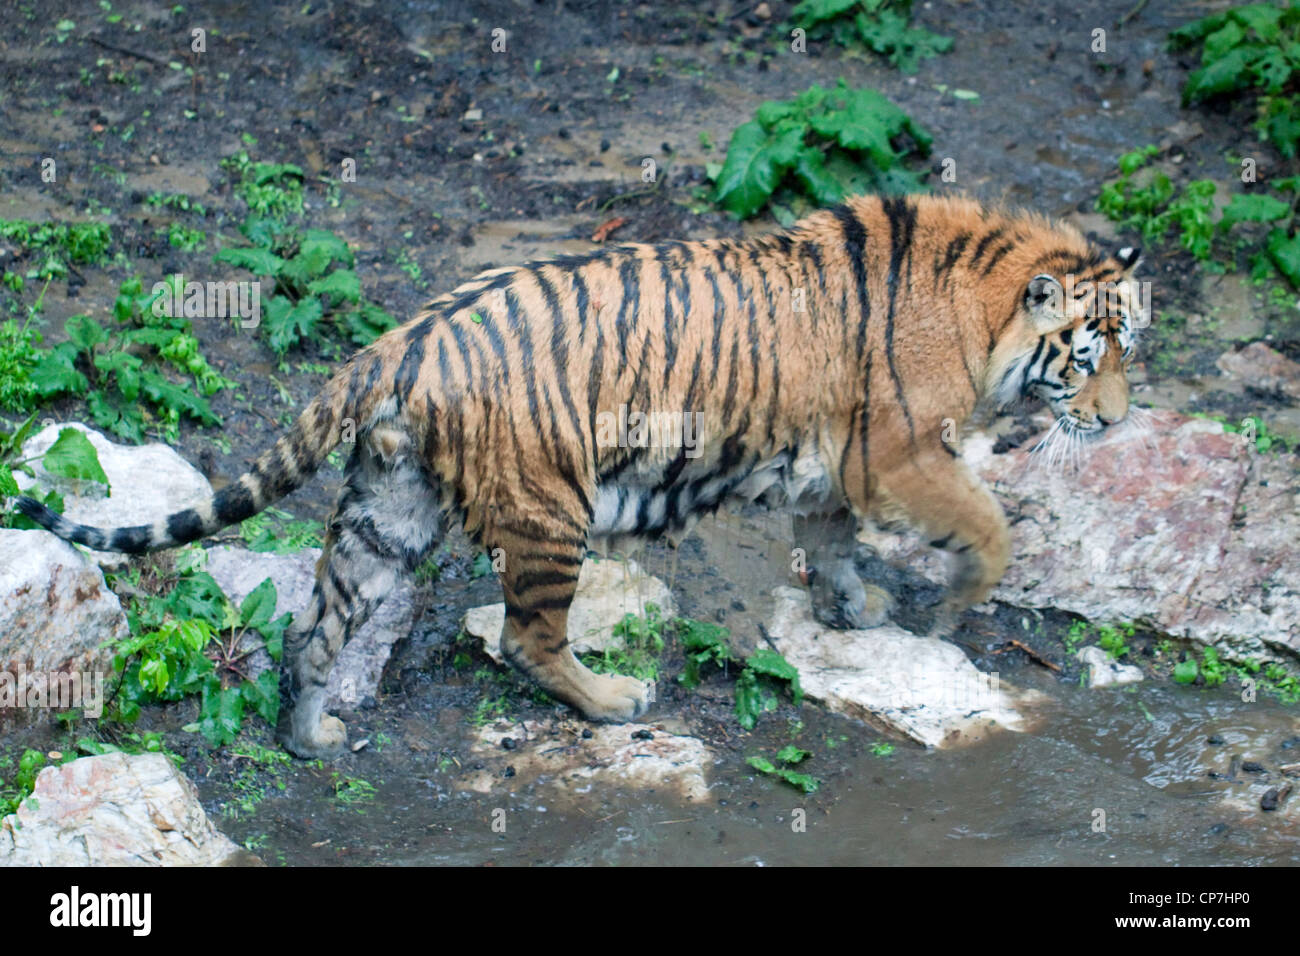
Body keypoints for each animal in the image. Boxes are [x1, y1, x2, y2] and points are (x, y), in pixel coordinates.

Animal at [15, 194, 1148, 759]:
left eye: (1132, 344)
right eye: (1094, 354)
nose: (1119, 419)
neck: (990, 316)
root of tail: (398, 340)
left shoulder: (840, 469)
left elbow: (832, 542)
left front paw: (855, 608)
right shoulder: (901, 454)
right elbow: (990, 529)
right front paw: (940, 610)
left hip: (388, 513)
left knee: (318, 628)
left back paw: (312, 735)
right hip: (549, 511)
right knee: (528, 638)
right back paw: (610, 700)